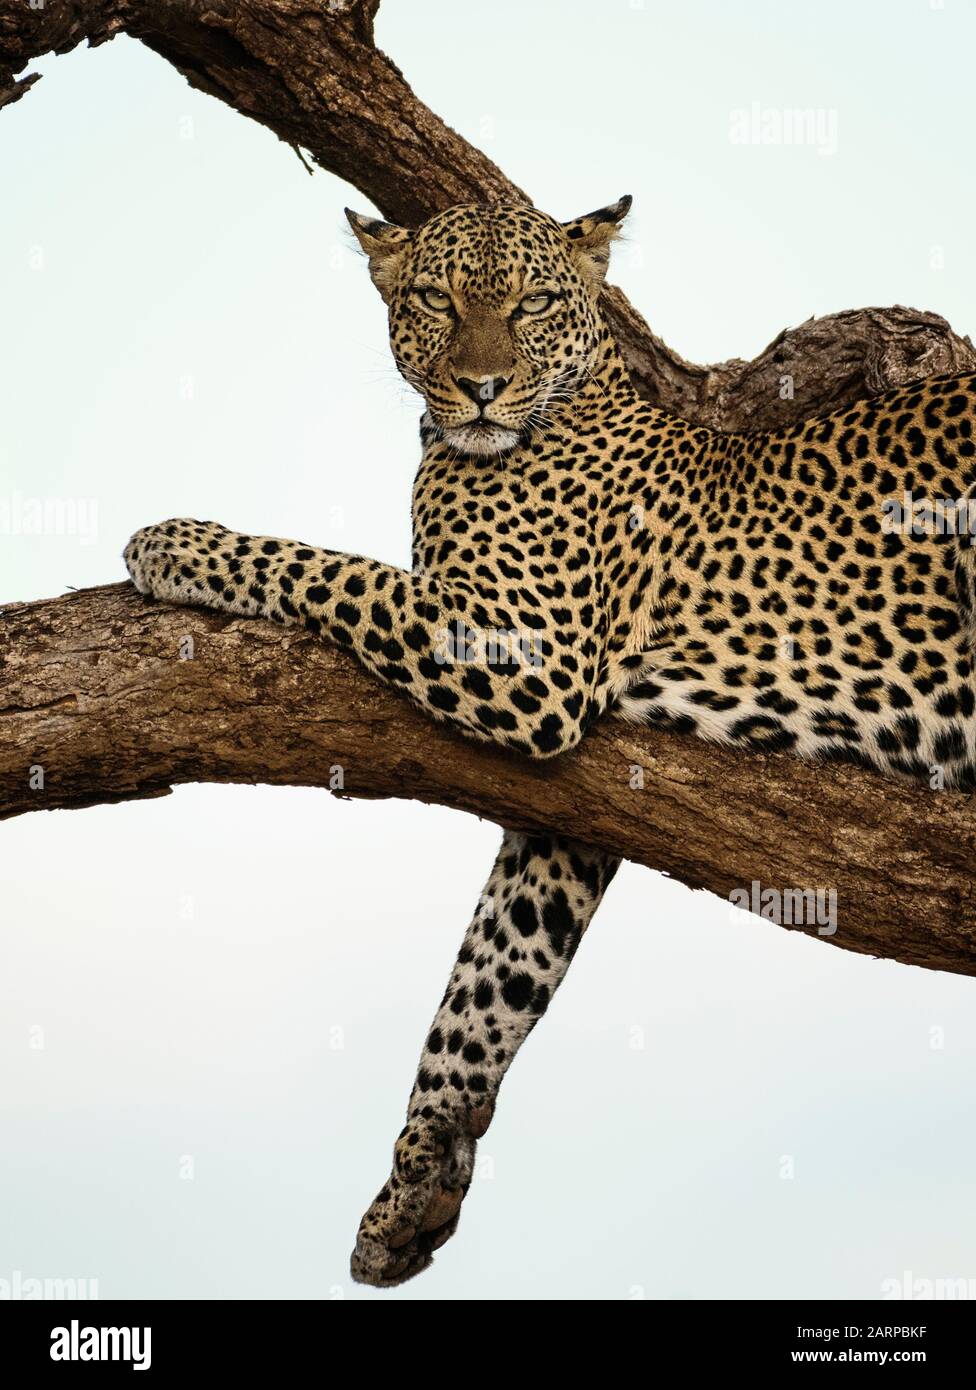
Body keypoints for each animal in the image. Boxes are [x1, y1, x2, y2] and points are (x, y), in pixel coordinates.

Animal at [124, 196, 976, 1288]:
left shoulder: (528, 659)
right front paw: (413, 1182)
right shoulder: (574, 801)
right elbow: (488, 978)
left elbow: (331, 567)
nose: (481, 388)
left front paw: (176, 541)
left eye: (530, 303)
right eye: (433, 299)